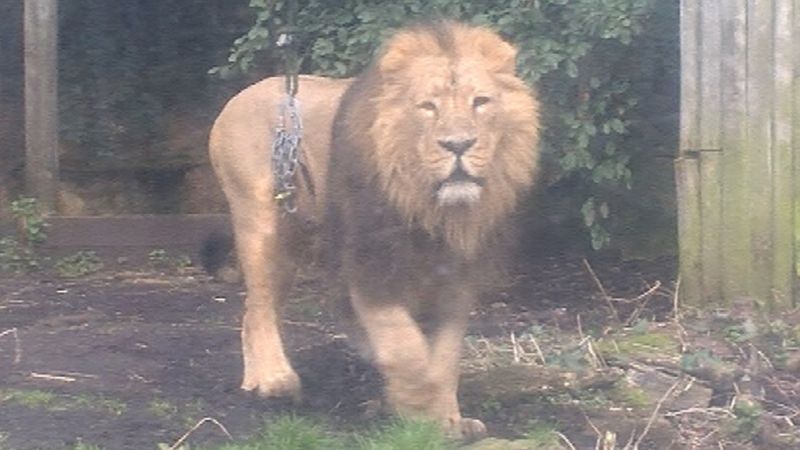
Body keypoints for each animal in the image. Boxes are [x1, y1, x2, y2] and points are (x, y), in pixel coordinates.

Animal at [208, 21, 540, 439]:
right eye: (427, 106)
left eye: (480, 101)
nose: (458, 145)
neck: (430, 205)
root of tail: (238, 97)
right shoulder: (371, 265)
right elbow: (406, 348)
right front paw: (415, 404)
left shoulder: (456, 278)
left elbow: (444, 355)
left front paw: (447, 419)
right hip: (262, 223)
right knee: (258, 308)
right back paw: (273, 380)